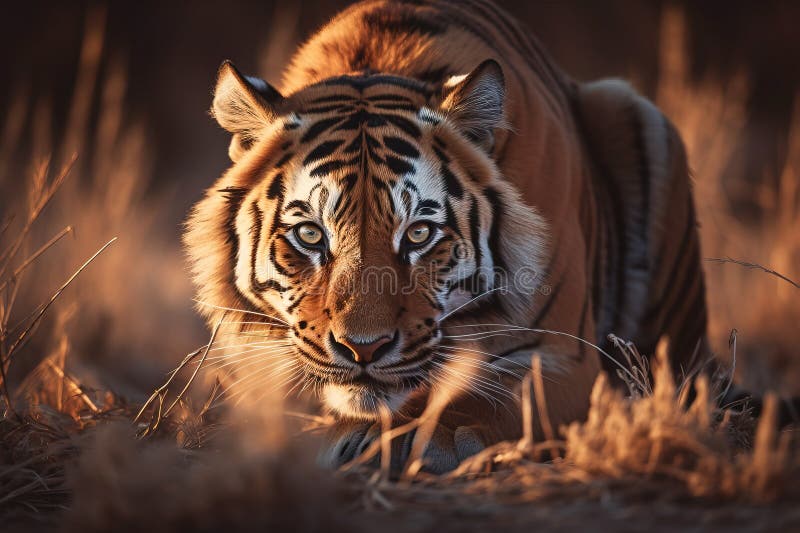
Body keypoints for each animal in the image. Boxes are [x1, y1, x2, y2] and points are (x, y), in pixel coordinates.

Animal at [184, 0, 721, 473]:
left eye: (419, 233)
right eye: (311, 236)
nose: (364, 351)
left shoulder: (563, 356)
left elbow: (492, 399)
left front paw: (430, 436)